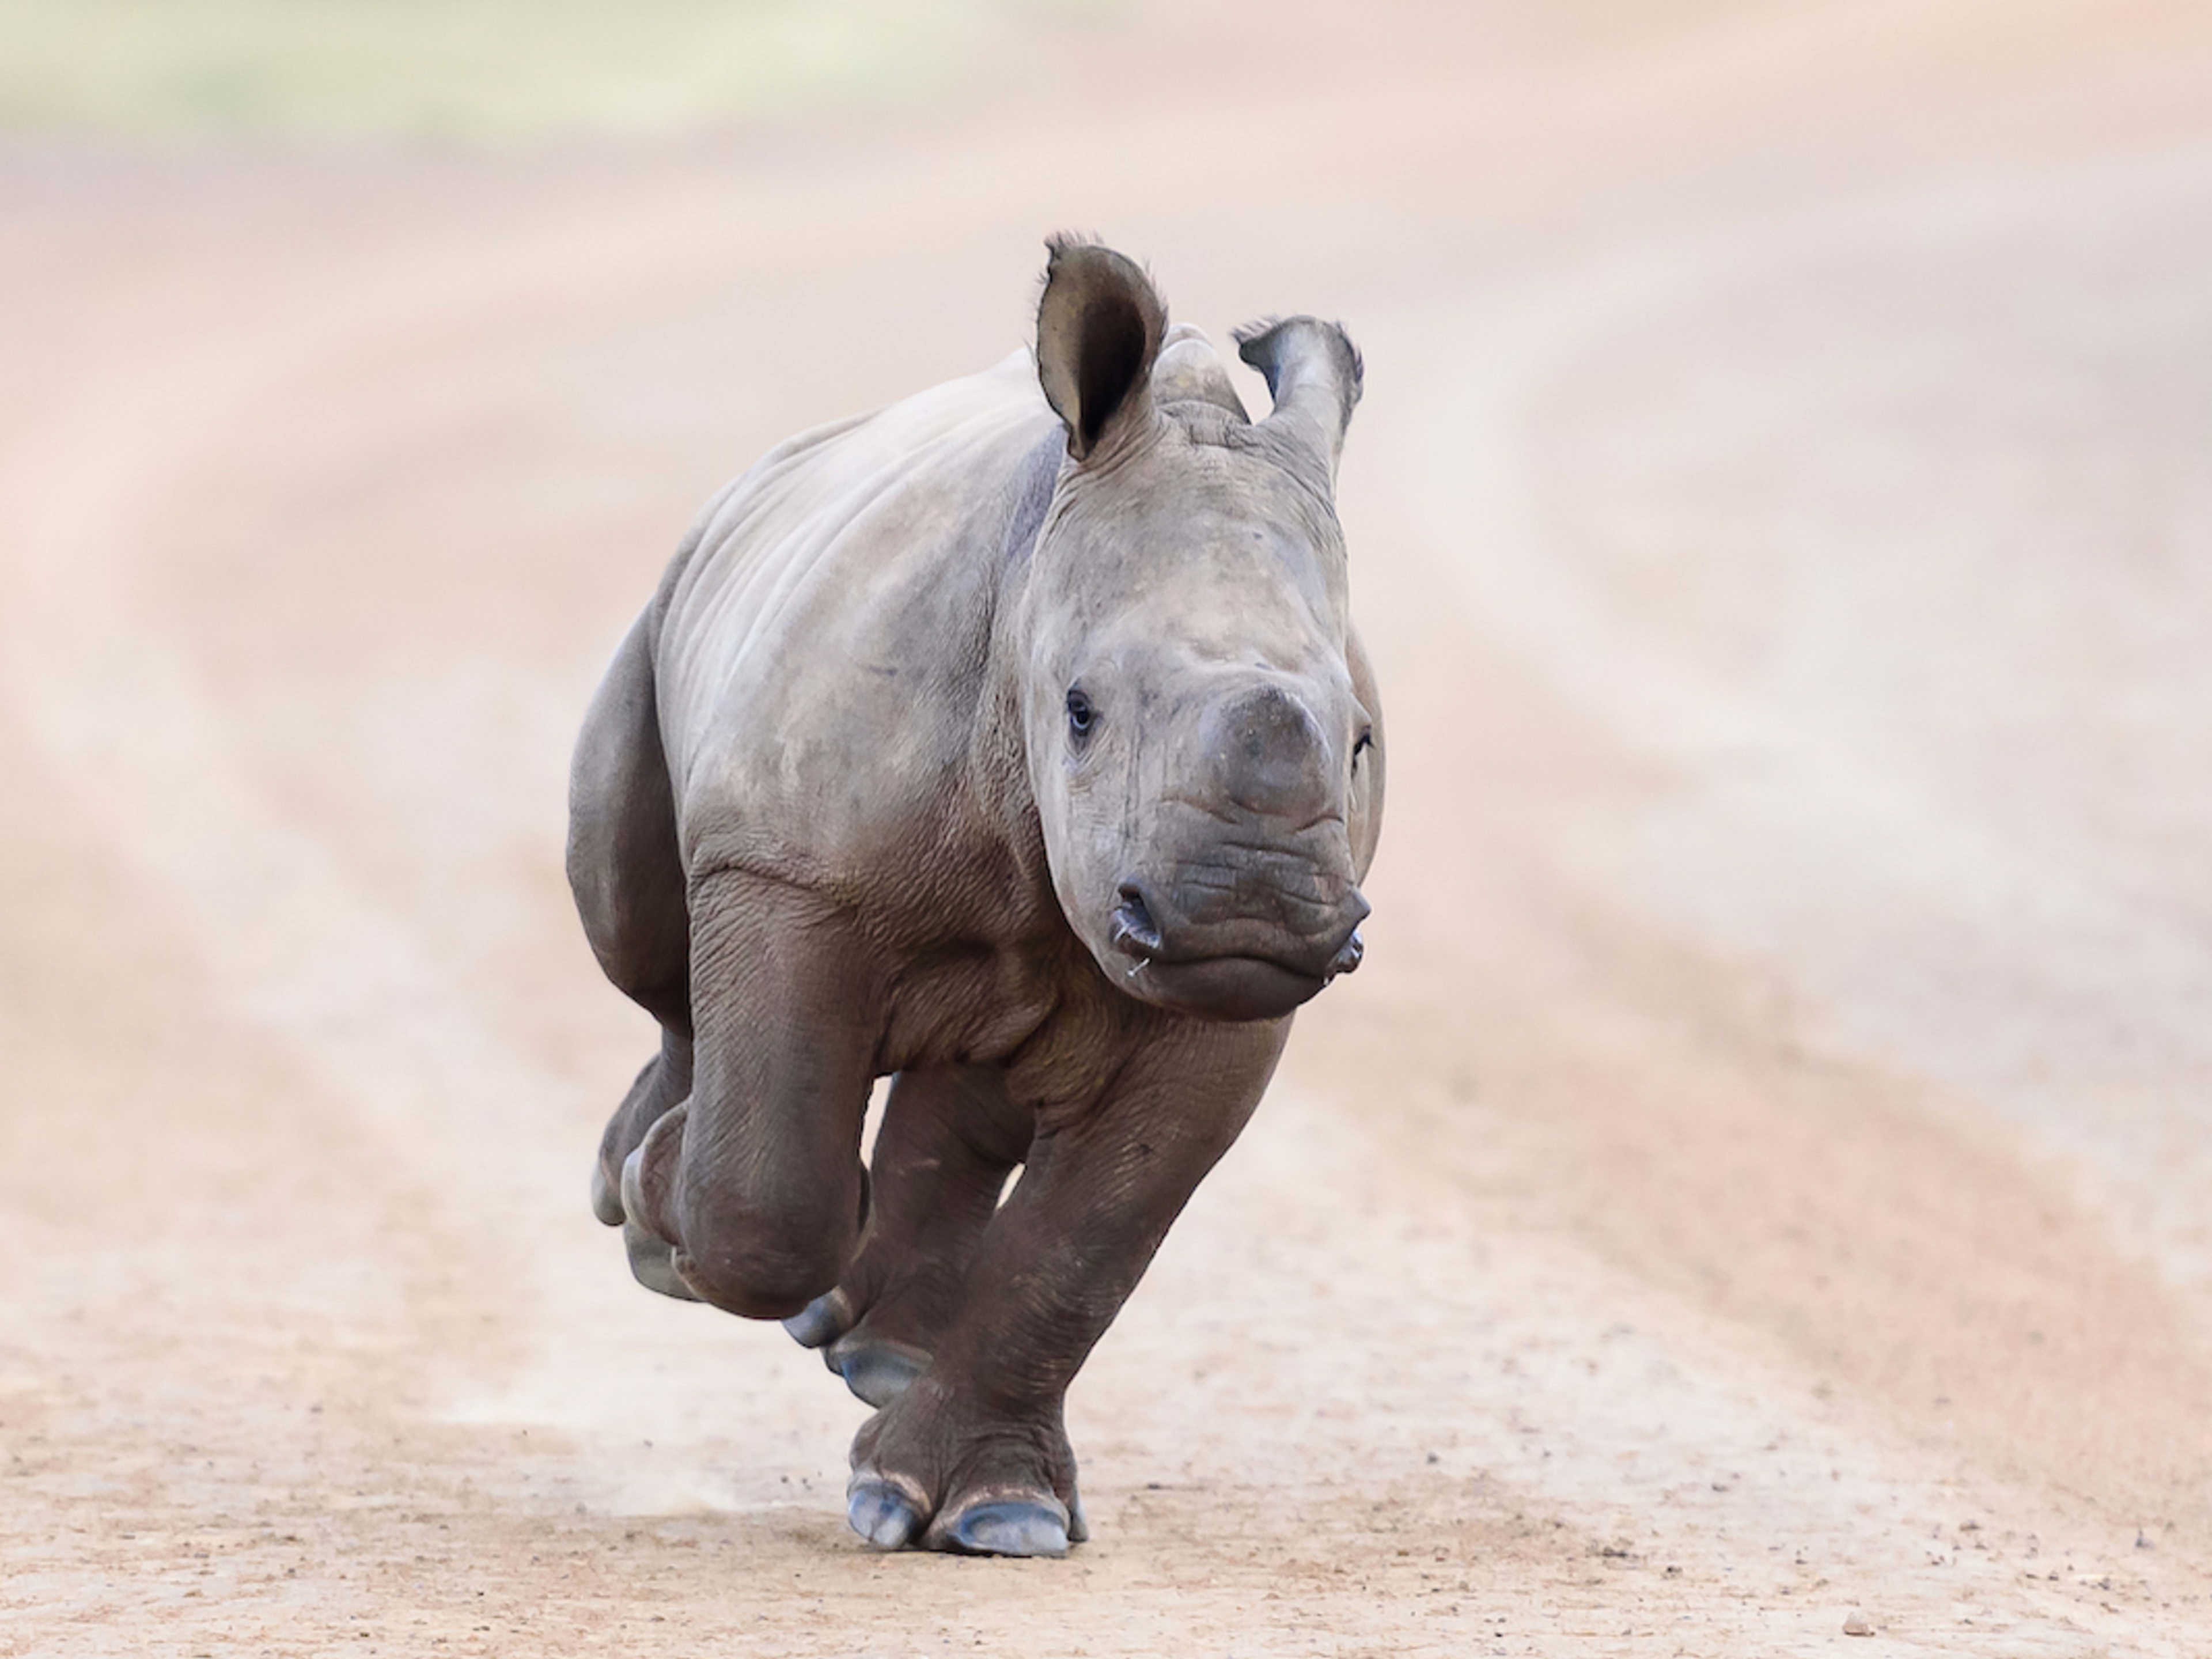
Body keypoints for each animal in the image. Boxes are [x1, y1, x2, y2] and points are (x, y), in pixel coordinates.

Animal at [569, 239, 1383, 1557]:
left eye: (1359, 744)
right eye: (1081, 711)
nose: (1246, 909)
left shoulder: (1236, 1011)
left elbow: (1085, 1252)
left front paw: (993, 1517)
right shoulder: (788, 871)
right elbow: (767, 1199)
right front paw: (675, 1208)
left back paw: (875, 1352)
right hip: (679, 600)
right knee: (649, 939)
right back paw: (644, 1200)